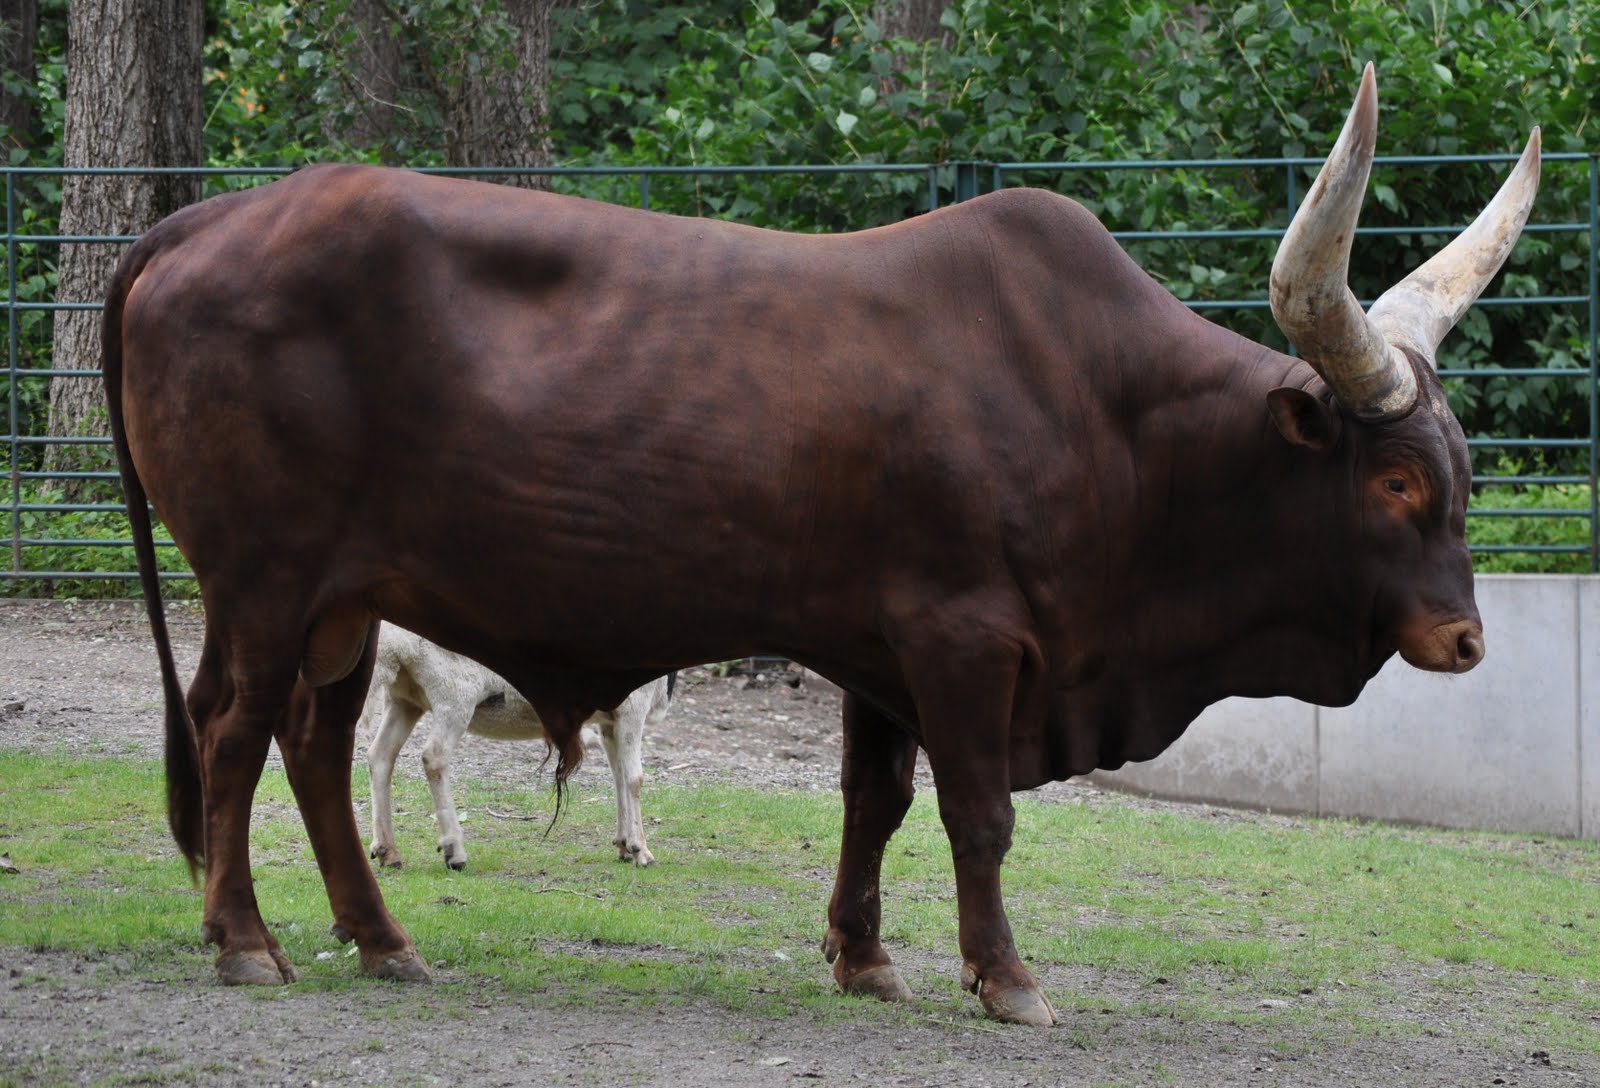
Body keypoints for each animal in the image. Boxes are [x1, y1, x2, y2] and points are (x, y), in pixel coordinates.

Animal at [361, 623, 669, 869]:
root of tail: (391, 639)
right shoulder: (632, 707)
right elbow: (634, 779)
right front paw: (641, 850)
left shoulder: (610, 721)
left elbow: (618, 778)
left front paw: (624, 844)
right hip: (454, 691)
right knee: (433, 758)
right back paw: (454, 851)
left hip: (405, 698)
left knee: (380, 755)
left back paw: (387, 851)